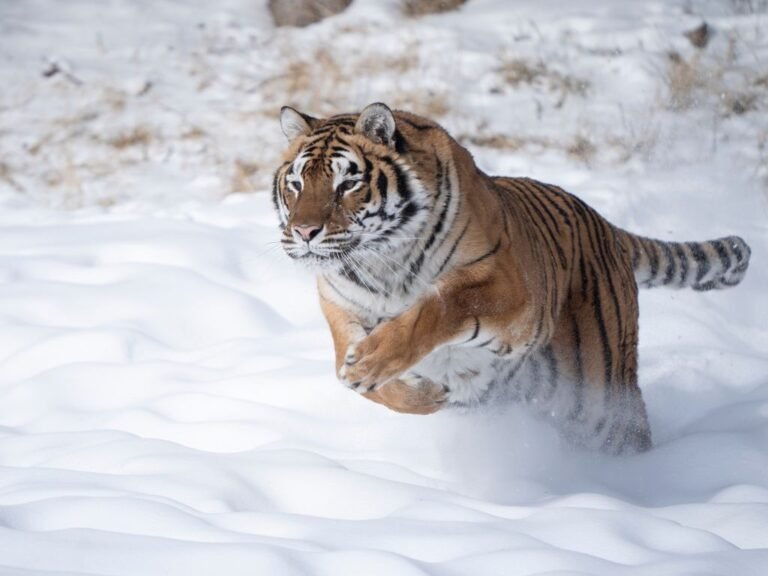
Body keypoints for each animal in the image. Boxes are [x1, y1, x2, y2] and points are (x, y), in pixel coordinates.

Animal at [272, 102, 751, 453]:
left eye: (347, 185)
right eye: (296, 184)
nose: (305, 232)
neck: (381, 260)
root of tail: (607, 226)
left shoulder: (511, 290)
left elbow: (440, 305)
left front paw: (375, 362)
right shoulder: (341, 306)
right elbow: (356, 376)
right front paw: (420, 392)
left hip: (601, 395)